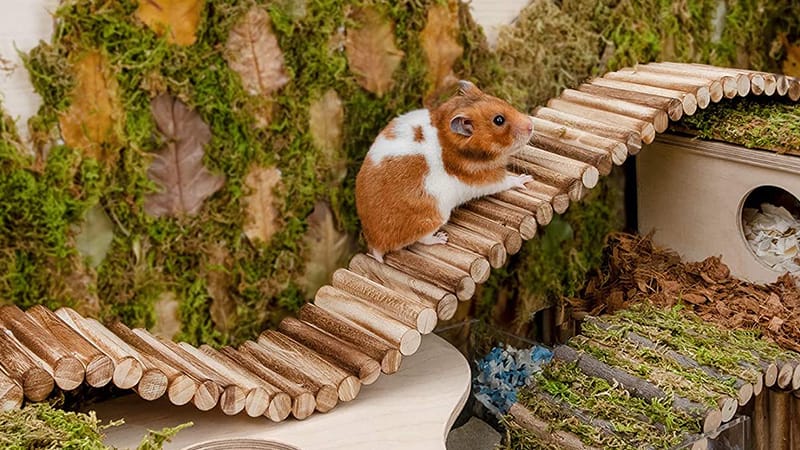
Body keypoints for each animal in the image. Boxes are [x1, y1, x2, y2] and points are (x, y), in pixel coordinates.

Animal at [355, 80, 534, 262]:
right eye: (499, 120)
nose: (531, 125)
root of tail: (375, 244)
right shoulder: (483, 179)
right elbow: (507, 181)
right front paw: (526, 179)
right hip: (436, 216)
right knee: (423, 239)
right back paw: (441, 238)